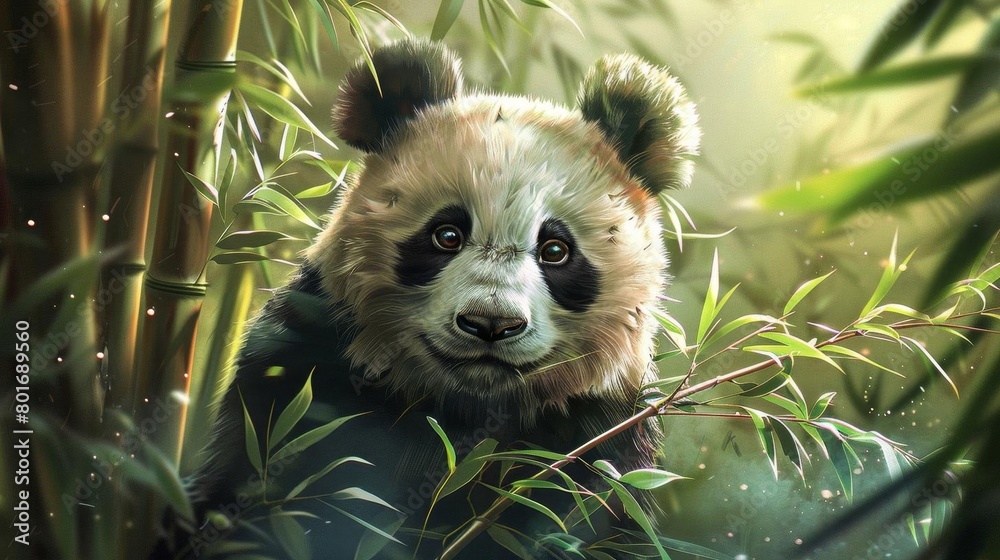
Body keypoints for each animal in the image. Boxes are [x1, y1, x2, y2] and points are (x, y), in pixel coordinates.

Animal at [189, 38, 699, 559]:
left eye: (556, 250)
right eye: (447, 235)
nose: (491, 324)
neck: (465, 408)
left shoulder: (598, 433)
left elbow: (578, 511)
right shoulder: (301, 370)